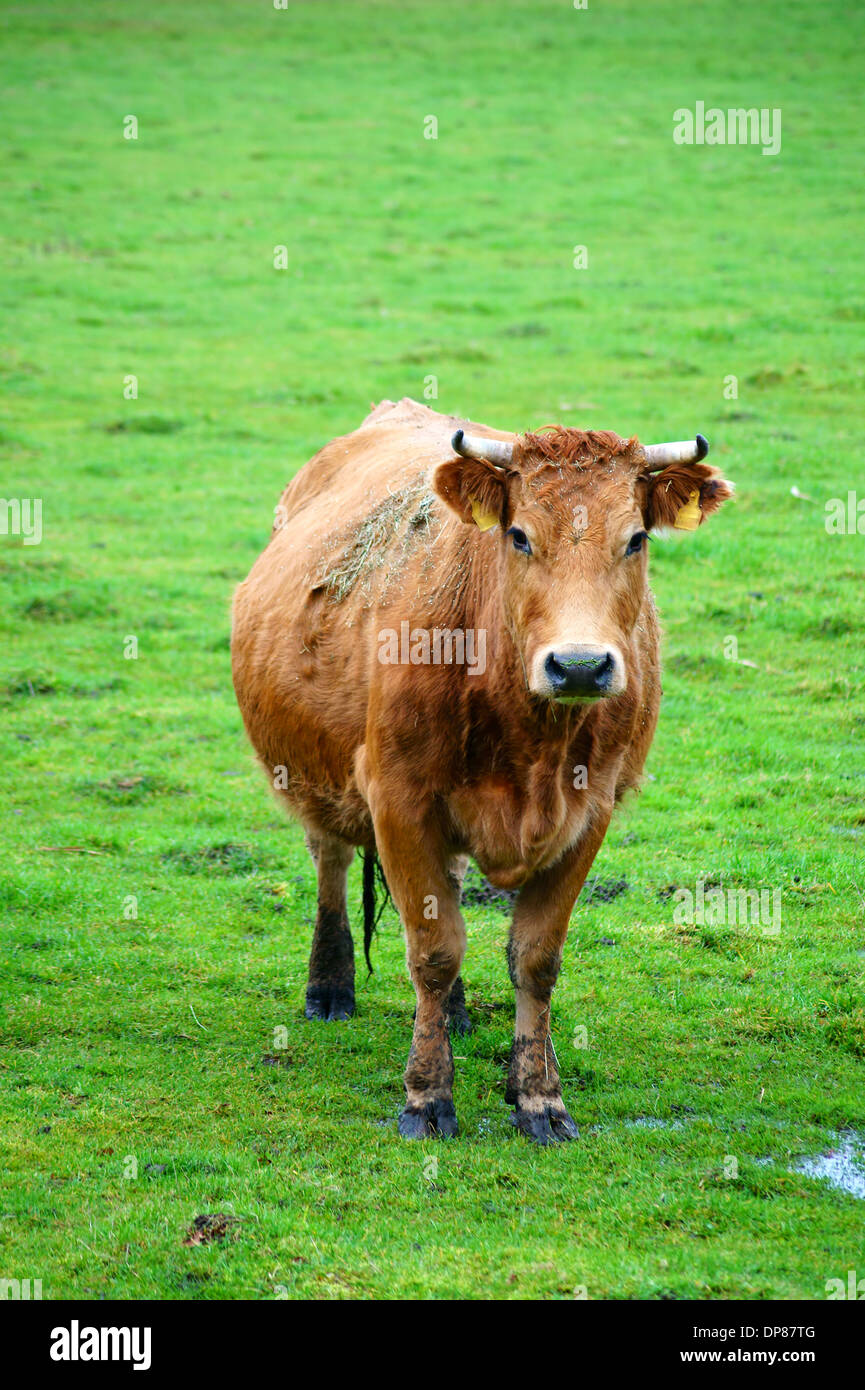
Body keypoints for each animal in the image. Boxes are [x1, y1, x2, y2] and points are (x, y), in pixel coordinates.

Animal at [231, 398, 733, 1144]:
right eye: (520, 536)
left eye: (636, 538)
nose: (578, 666)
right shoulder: (398, 801)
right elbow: (433, 951)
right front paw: (427, 1095)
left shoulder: (591, 811)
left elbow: (534, 957)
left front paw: (538, 1097)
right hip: (311, 770)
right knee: (332, 861)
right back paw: (330, 986)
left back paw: (459, 1014)